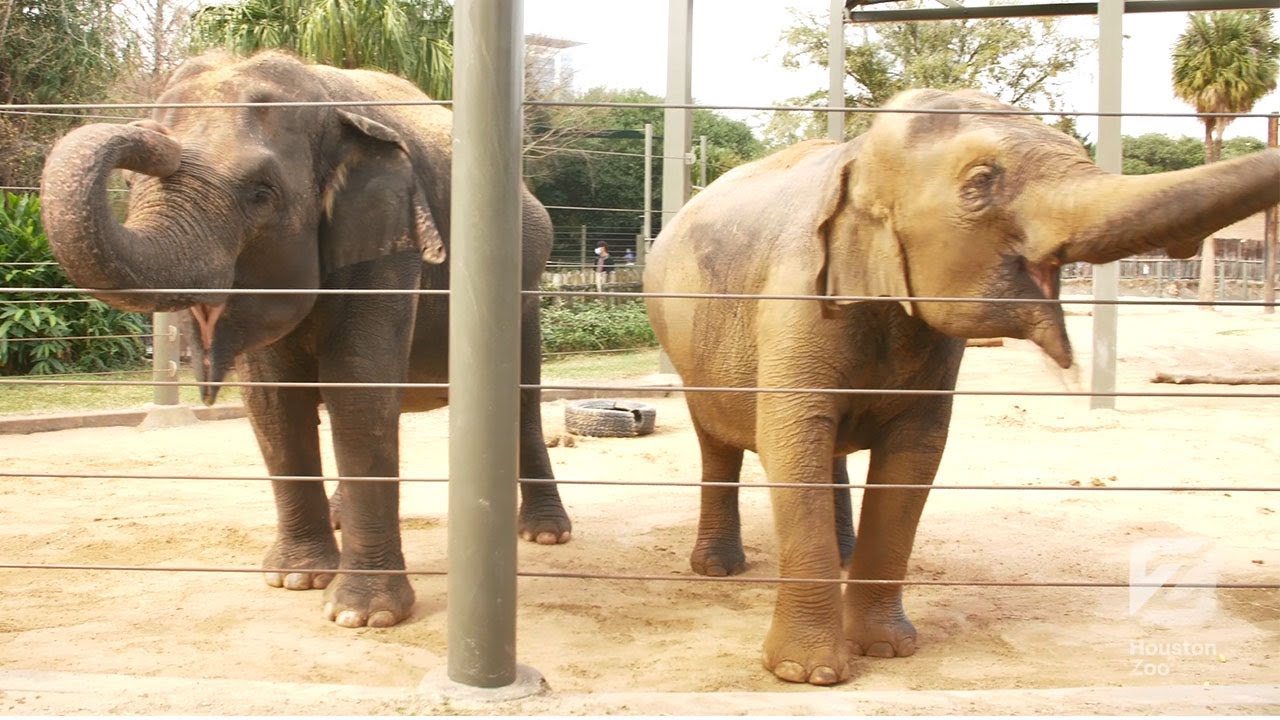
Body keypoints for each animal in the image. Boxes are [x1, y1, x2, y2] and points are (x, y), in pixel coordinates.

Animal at [39, 50, 572, 629]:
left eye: (261, 194)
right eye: (134, 188)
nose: (148, 134)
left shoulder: (386, 246)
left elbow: (357, 389)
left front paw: (362, 615)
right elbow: (273, 403)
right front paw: (296, 578)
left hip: (526, 291)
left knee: (521, 401)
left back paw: (546, 533)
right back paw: (340, 519)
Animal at [644, 88, 1280, 685]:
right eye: (981, 182)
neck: (857, 158)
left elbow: (915, 454)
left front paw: (888, 651)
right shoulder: (796, 295)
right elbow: (793, 439)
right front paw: (810, 675)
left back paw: (844, 557)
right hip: (689, 348)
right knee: (717, 444)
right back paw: (718, 569)